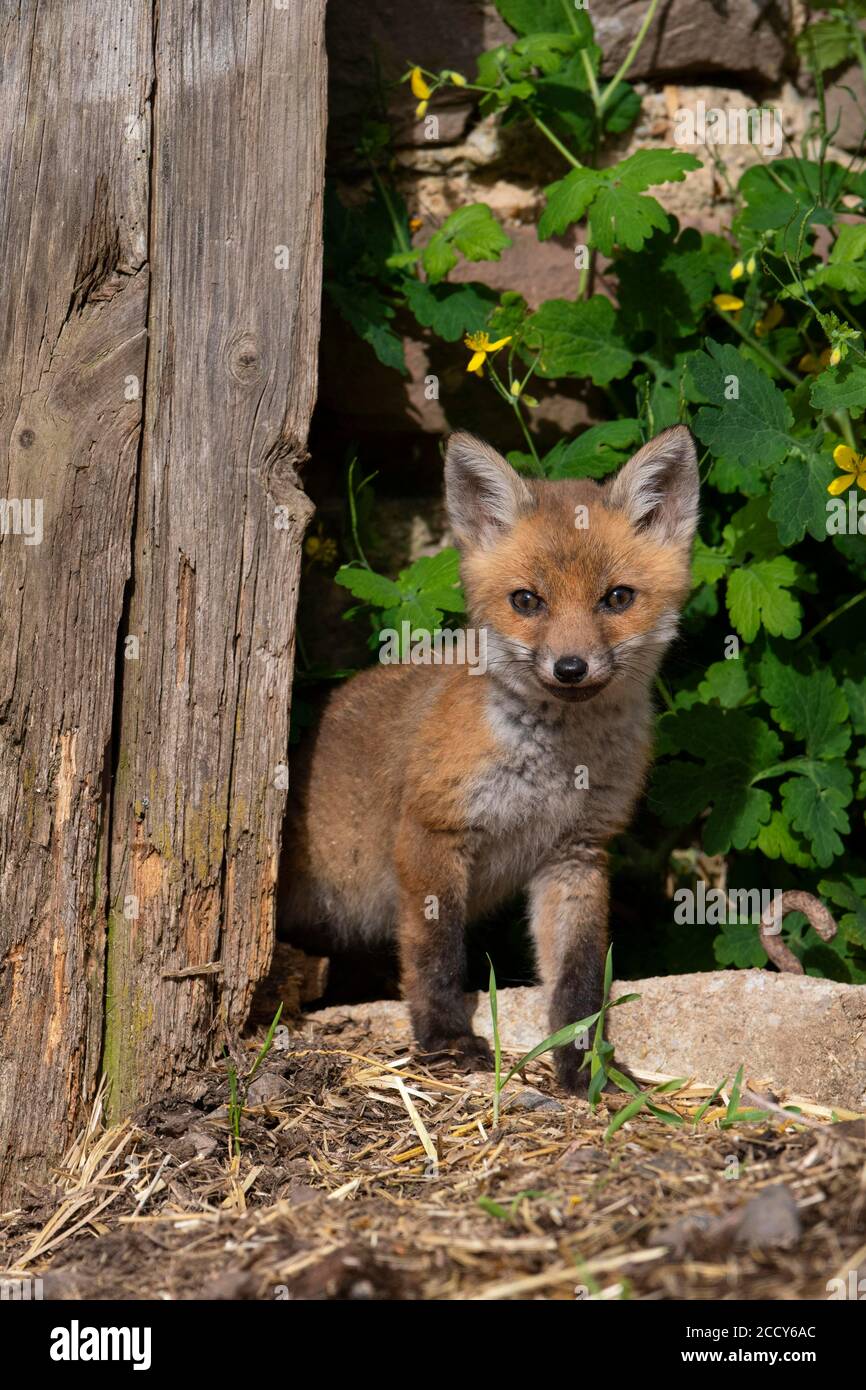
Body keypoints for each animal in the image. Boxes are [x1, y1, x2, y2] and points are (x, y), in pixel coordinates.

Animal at [279, 425, 699, 1092]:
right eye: (526, 601)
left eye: (617, 598)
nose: (571, 668)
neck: (555, 768)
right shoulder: (432, 832)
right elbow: (436, 955)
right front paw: (447, 1041)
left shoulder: (576, 852)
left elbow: (578, 979)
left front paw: (584, 1064)